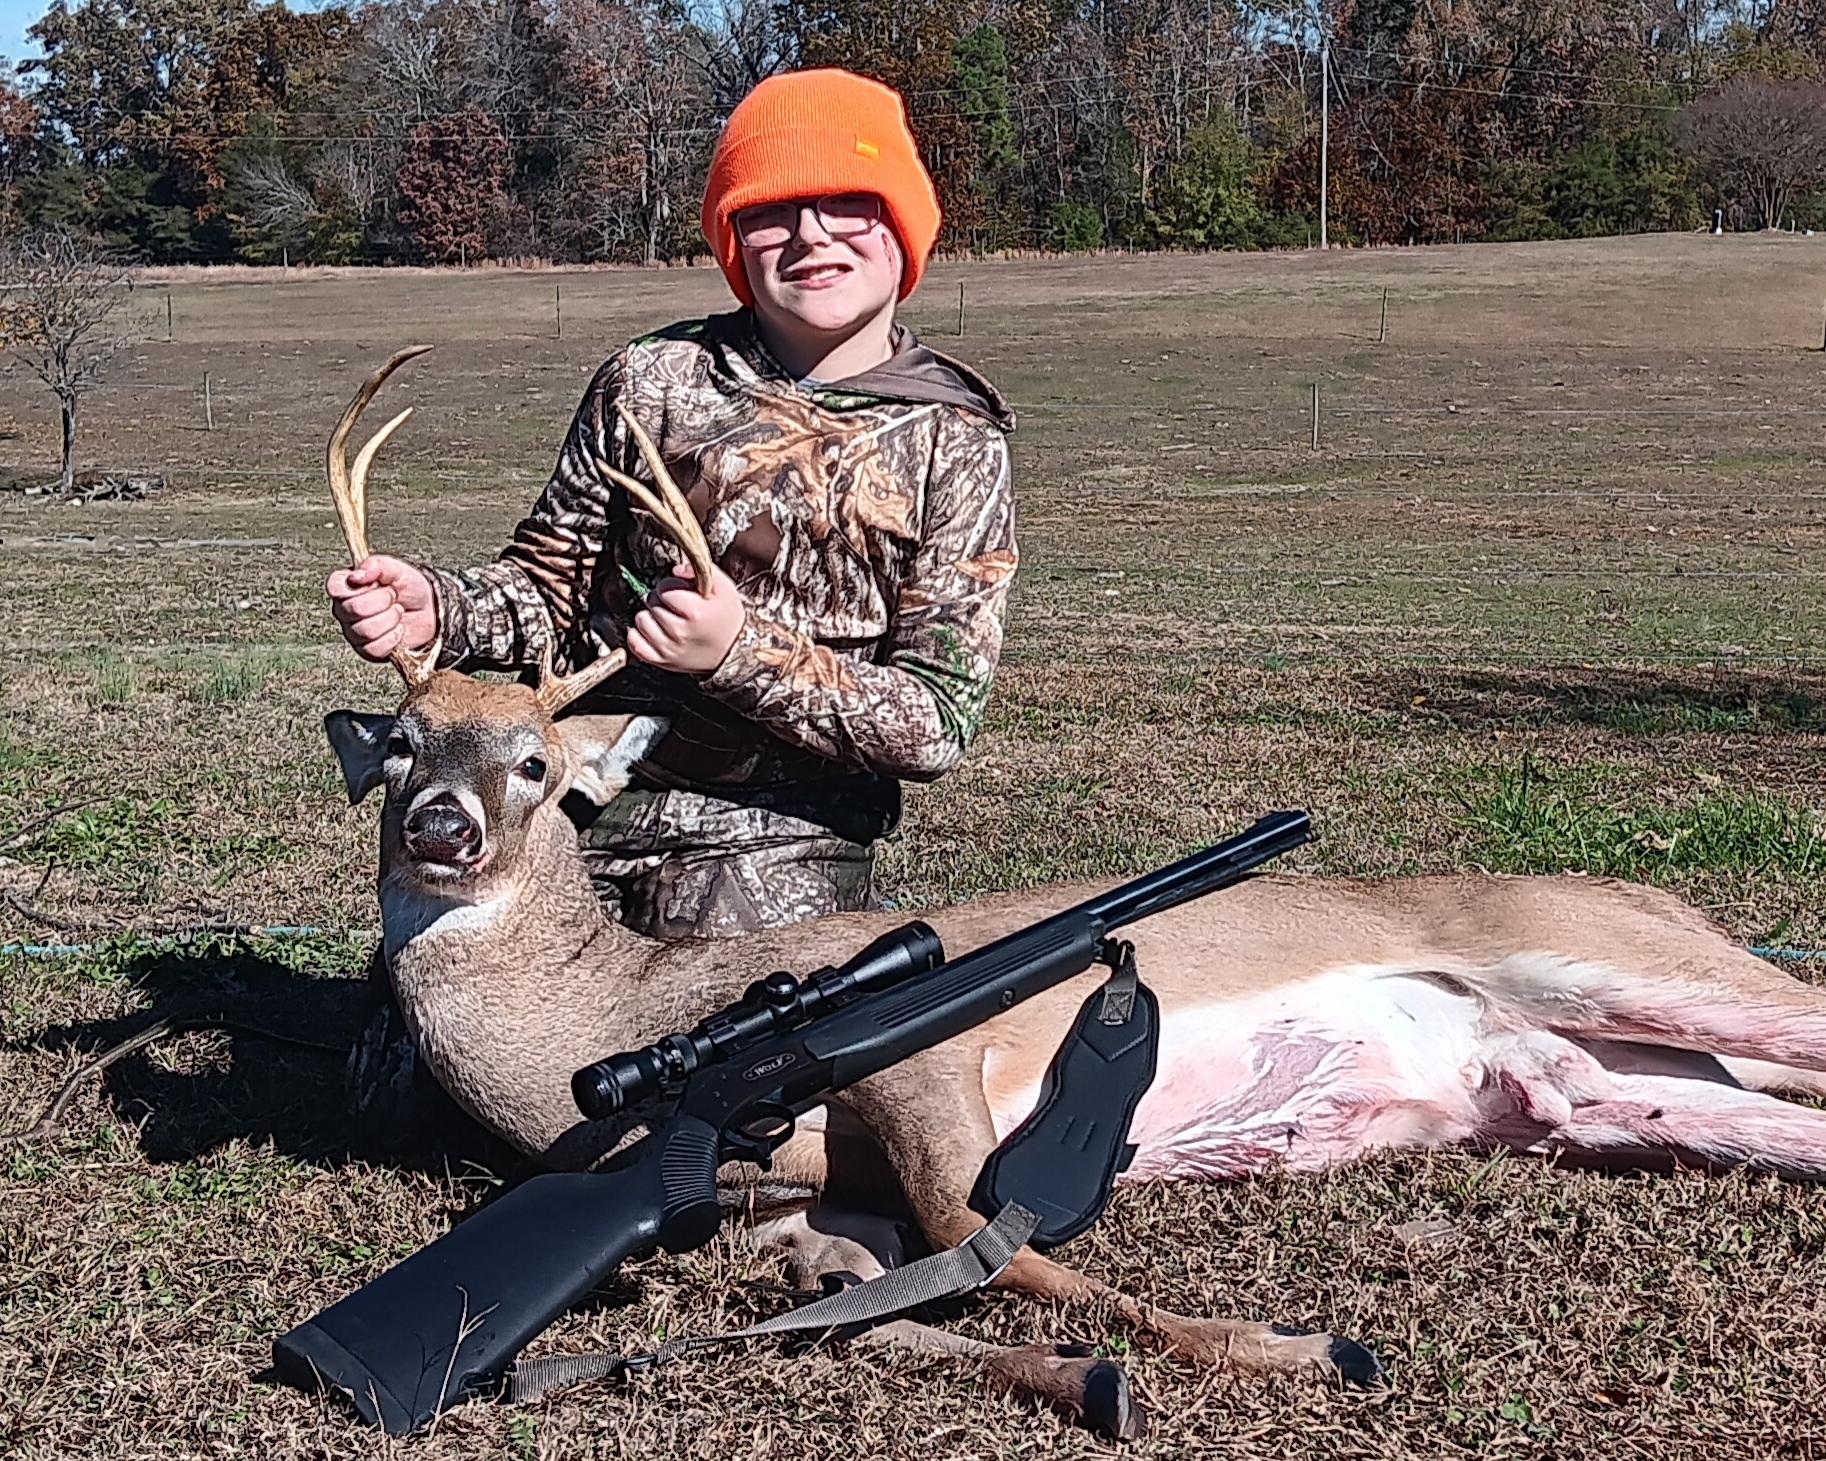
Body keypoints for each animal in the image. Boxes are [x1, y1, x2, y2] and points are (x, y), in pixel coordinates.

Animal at [321, 348, 1826, 1441]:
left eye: (534, 764)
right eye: (398, 746)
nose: (442, 827)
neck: (620, 1028)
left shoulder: (918, 1071)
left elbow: (985, 1236)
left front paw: (1286, 1347)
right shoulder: (796, 1213)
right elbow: (885, 1300)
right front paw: (1102, 1374)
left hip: (1608, 962)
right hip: (1596, 1092)